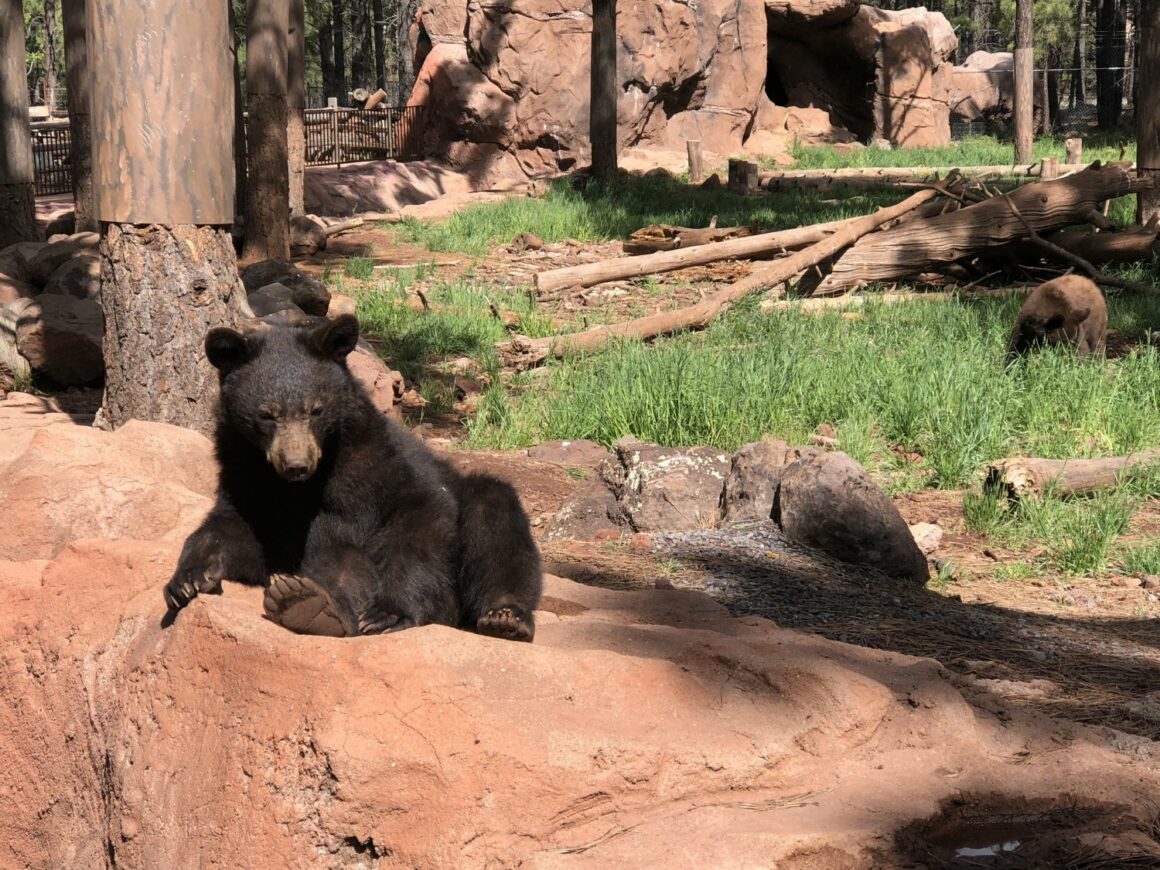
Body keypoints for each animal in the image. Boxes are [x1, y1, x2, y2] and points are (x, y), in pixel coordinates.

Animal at [163, 314, 543, 642]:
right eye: (266, 415)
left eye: (316, 409)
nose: (296, 464)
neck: (306, 485)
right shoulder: (247, 475)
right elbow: (235, 530)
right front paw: (187, 580)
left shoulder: (376, 463)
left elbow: (420, 515)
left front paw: (389, 611)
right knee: (342, 561)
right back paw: (308, 603)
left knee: (494, 515)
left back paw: (505, 616)